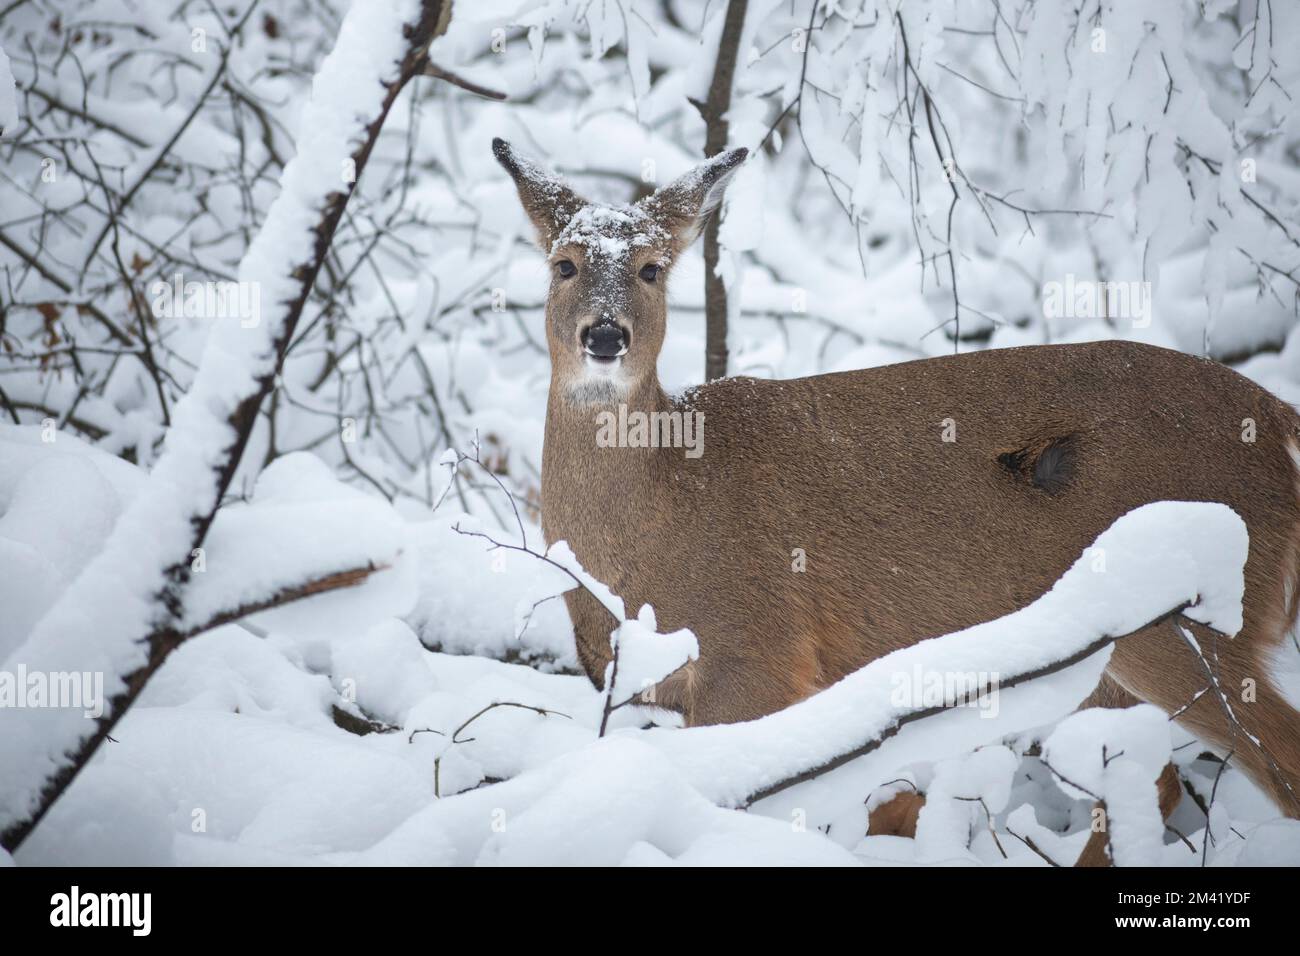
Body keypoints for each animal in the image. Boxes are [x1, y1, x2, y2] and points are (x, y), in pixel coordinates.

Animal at [491, 137, 1300, 836]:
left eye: (653, 268)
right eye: (564, 264)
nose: (604, 336)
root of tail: (1278, 421)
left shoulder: (756, 654)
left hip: (1187, 613)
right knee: (1149, 777)